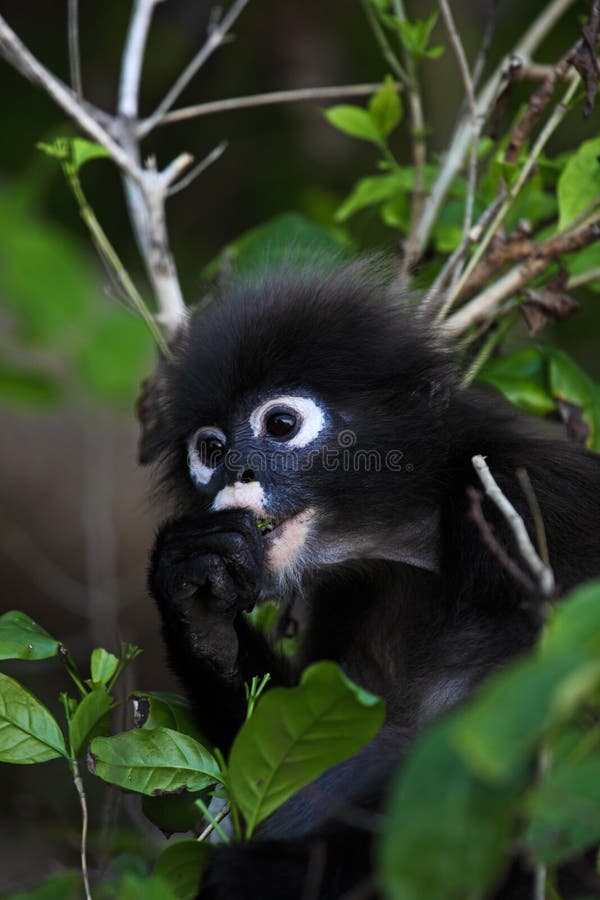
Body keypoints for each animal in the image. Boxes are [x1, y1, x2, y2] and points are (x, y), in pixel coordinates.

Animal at [144, 261, 600, 899]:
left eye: (279, 424)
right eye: (209, 449)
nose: (237, 469)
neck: (421, 545)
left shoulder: (542, 508)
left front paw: (266, 870)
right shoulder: (357, 596)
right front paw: (200, 609)